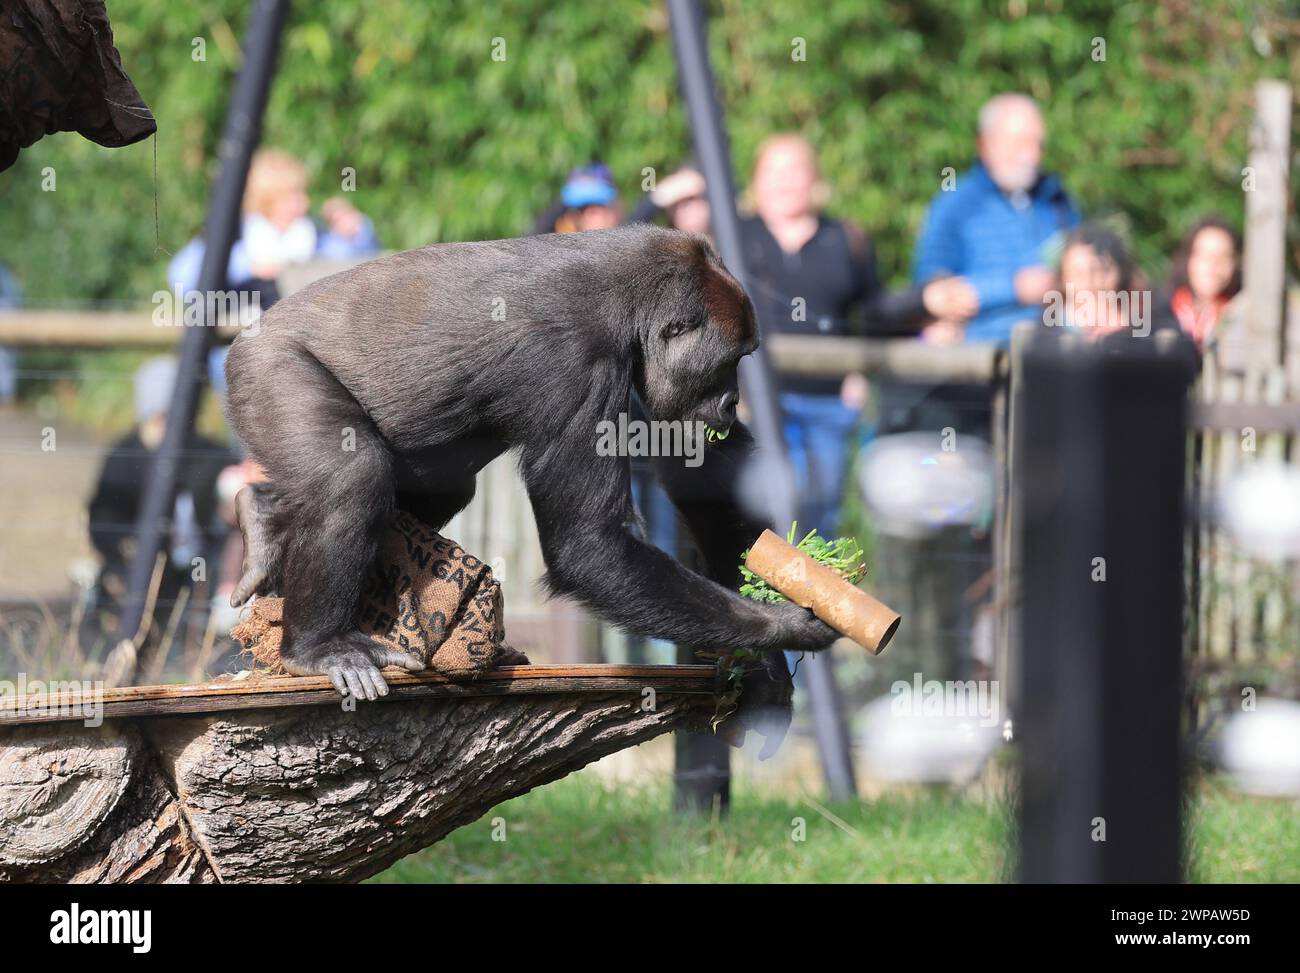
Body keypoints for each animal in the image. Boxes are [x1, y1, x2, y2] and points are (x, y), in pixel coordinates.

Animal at [223, 224, 837, 703]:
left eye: (744, 362)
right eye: (728, 363)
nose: (731, 402)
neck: (631, 303)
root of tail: (250, 332)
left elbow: (696, 463)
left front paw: (768, 647)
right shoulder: (578, 361)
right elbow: (588, 545)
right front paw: (784, 626)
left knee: (436, 484)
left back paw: (266, 515)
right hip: (266, 367)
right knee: (352, 480)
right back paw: (315, 646)